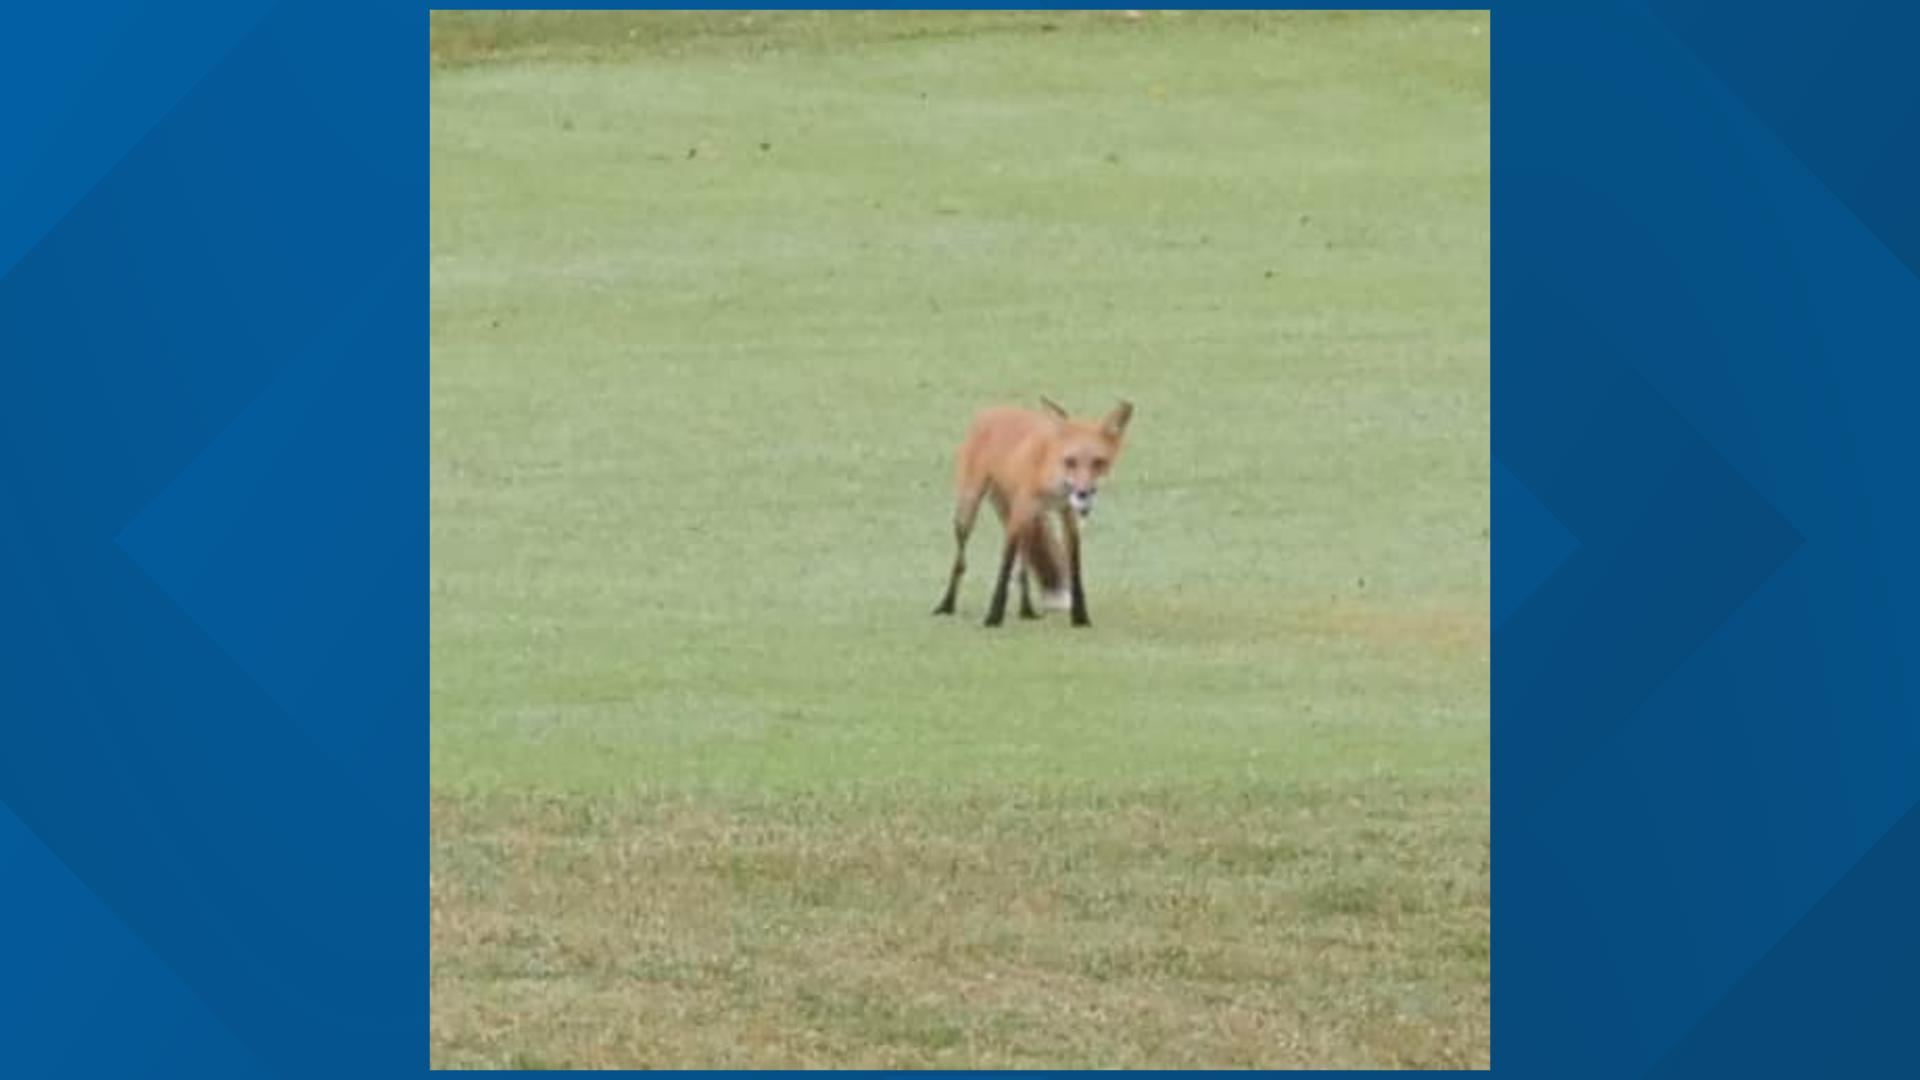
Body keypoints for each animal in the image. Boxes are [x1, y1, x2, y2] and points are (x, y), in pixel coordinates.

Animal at [932, 396, 1134, 627]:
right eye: (1070, 461)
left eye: (1099, 462)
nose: (1083, 493)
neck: (1053, 484)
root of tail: (993, 409)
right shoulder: (1019, 512)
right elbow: (1005, 567)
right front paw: (993, 617)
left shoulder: (1068, 517)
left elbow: (1075, 570)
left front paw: (1081, 617)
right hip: (969, 508)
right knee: (961, 562)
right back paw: (947, 605)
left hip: (1031, 522)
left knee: (1024, 568)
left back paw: (1026, 611)